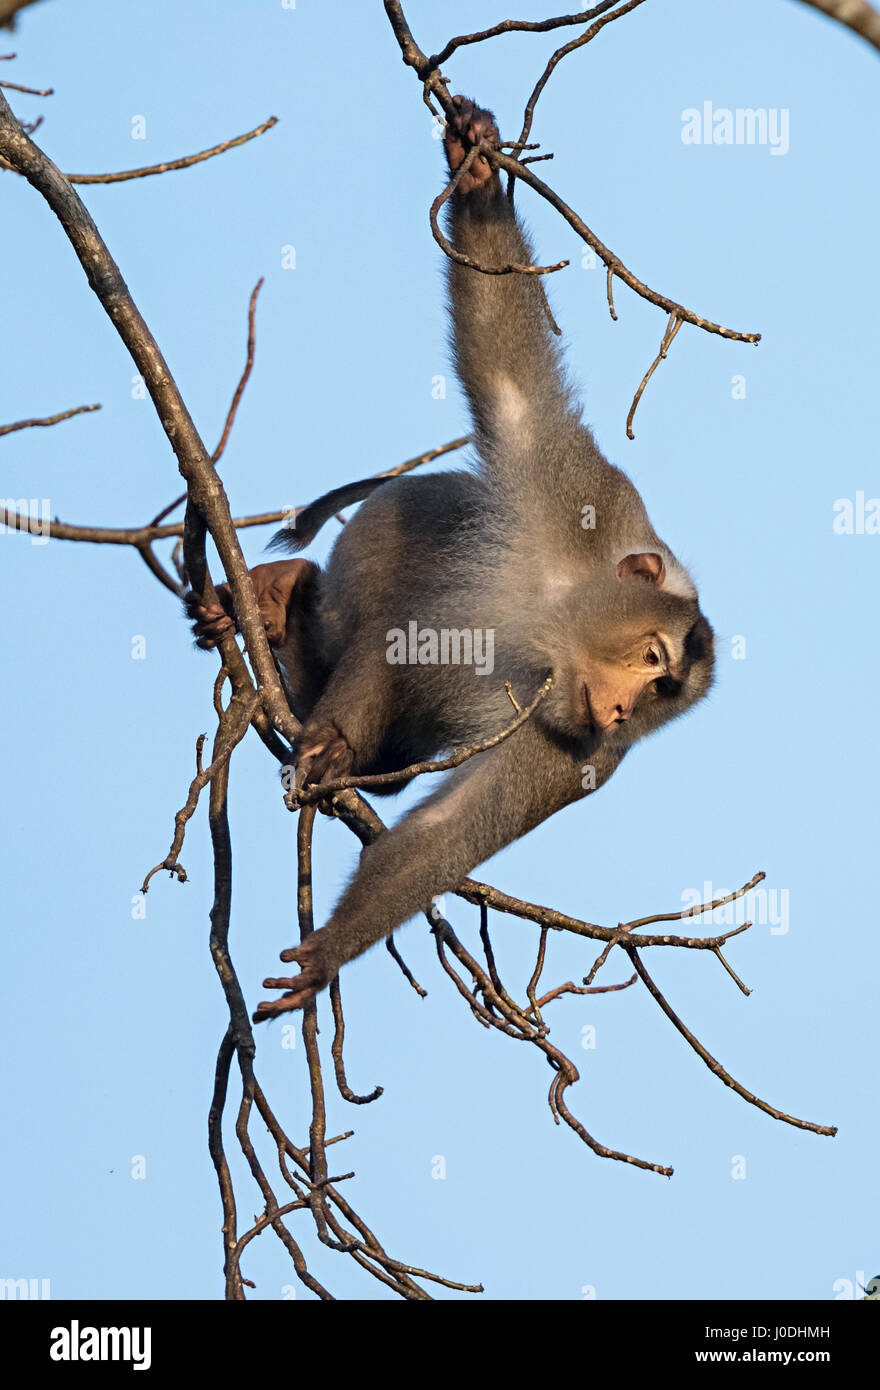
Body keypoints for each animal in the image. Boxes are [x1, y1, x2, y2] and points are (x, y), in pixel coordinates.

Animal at [190, 96, 715, 1022]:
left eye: (662, 700)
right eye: (654, 659)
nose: (623, 710)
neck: (555, 630)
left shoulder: (579, 758)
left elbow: (444, 834)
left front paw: (330, 950)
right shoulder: (571, 491)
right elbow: (509, 383)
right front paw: (474, 175)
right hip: (388, 518)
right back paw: (285, 600)